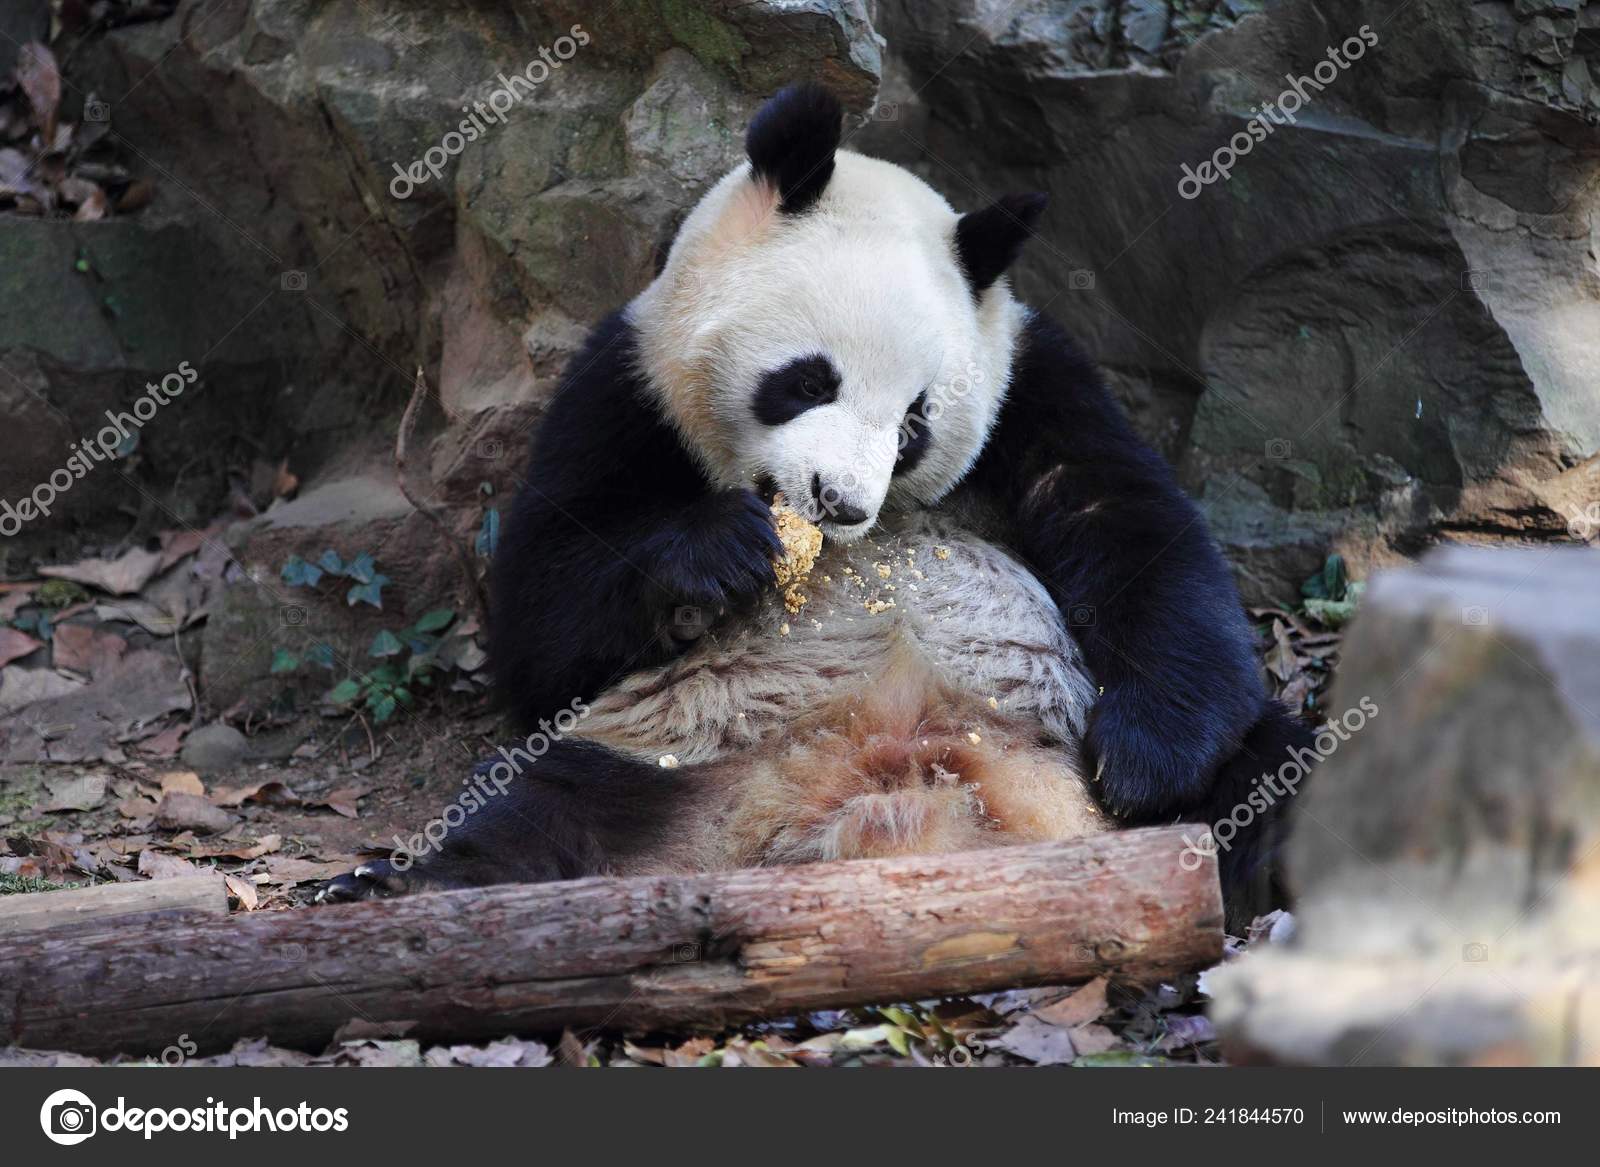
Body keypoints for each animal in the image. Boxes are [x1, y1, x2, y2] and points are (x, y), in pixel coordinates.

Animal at [323, 84, 1312, 922]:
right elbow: (542, 622)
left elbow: (1136, 531)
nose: (838, 501)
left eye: (914, 422)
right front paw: (716, 556)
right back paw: (398, 887)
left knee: (1284, 765)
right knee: (537, 801)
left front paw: (1145, 762)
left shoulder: (1032, 378)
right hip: (666, 748)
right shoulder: (625, 386)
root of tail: (867, 797)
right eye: (807, 380)